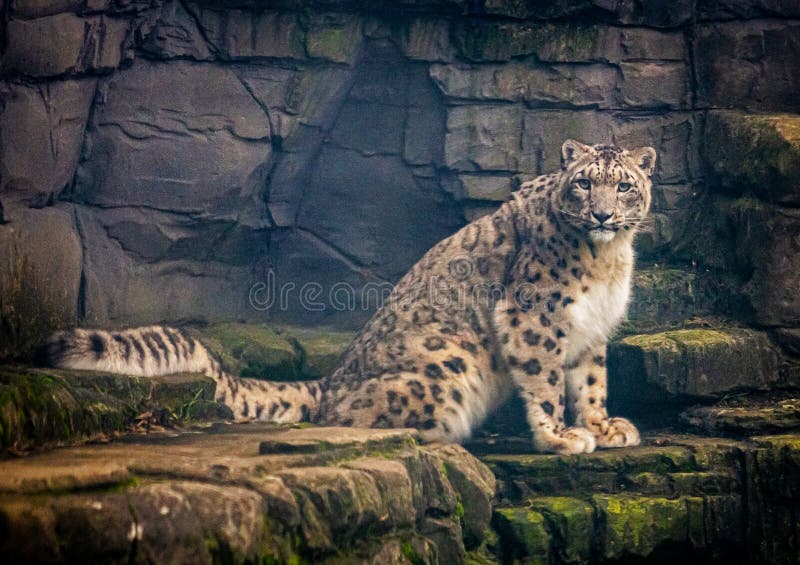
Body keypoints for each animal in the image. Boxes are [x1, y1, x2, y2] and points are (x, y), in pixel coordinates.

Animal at [44, 139, 656, 455]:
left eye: (625, 185)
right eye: (584, 182)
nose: (603, 215)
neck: (607, 261)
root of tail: (331, 378)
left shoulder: (591, 329)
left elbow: (590, 381)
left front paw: (605, 425)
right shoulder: (534, 314)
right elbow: (547, 381)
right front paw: (562, 436)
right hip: (446, 361)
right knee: (357, 418)